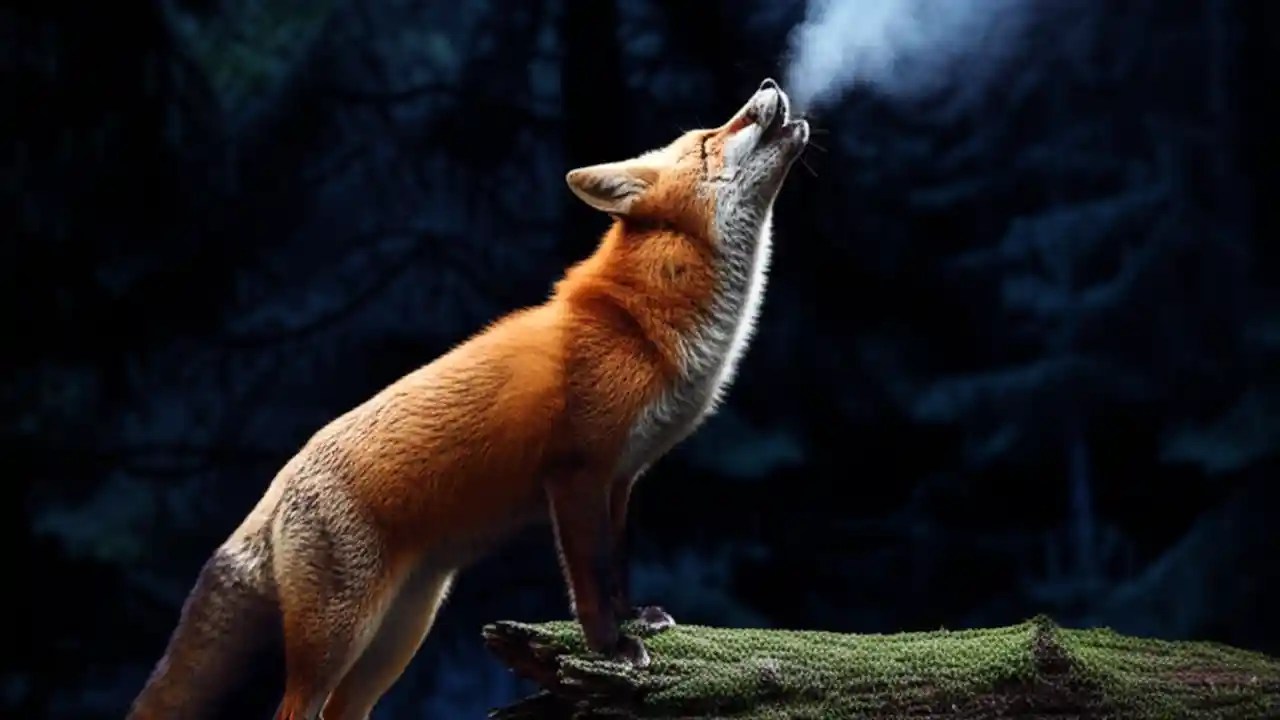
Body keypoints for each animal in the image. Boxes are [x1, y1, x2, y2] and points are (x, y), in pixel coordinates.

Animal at [127, 78, 809, 720]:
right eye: (712, 138)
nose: (769, 84)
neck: (638, 325)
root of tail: (276, 489)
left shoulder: (621, 478)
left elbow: (616, 567)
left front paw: (635, 617)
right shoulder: (576, 473)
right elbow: (590, 580)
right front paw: (611, 649)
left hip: (402, 631)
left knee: (347, 710)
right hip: (341, 637)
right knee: (295, 710)